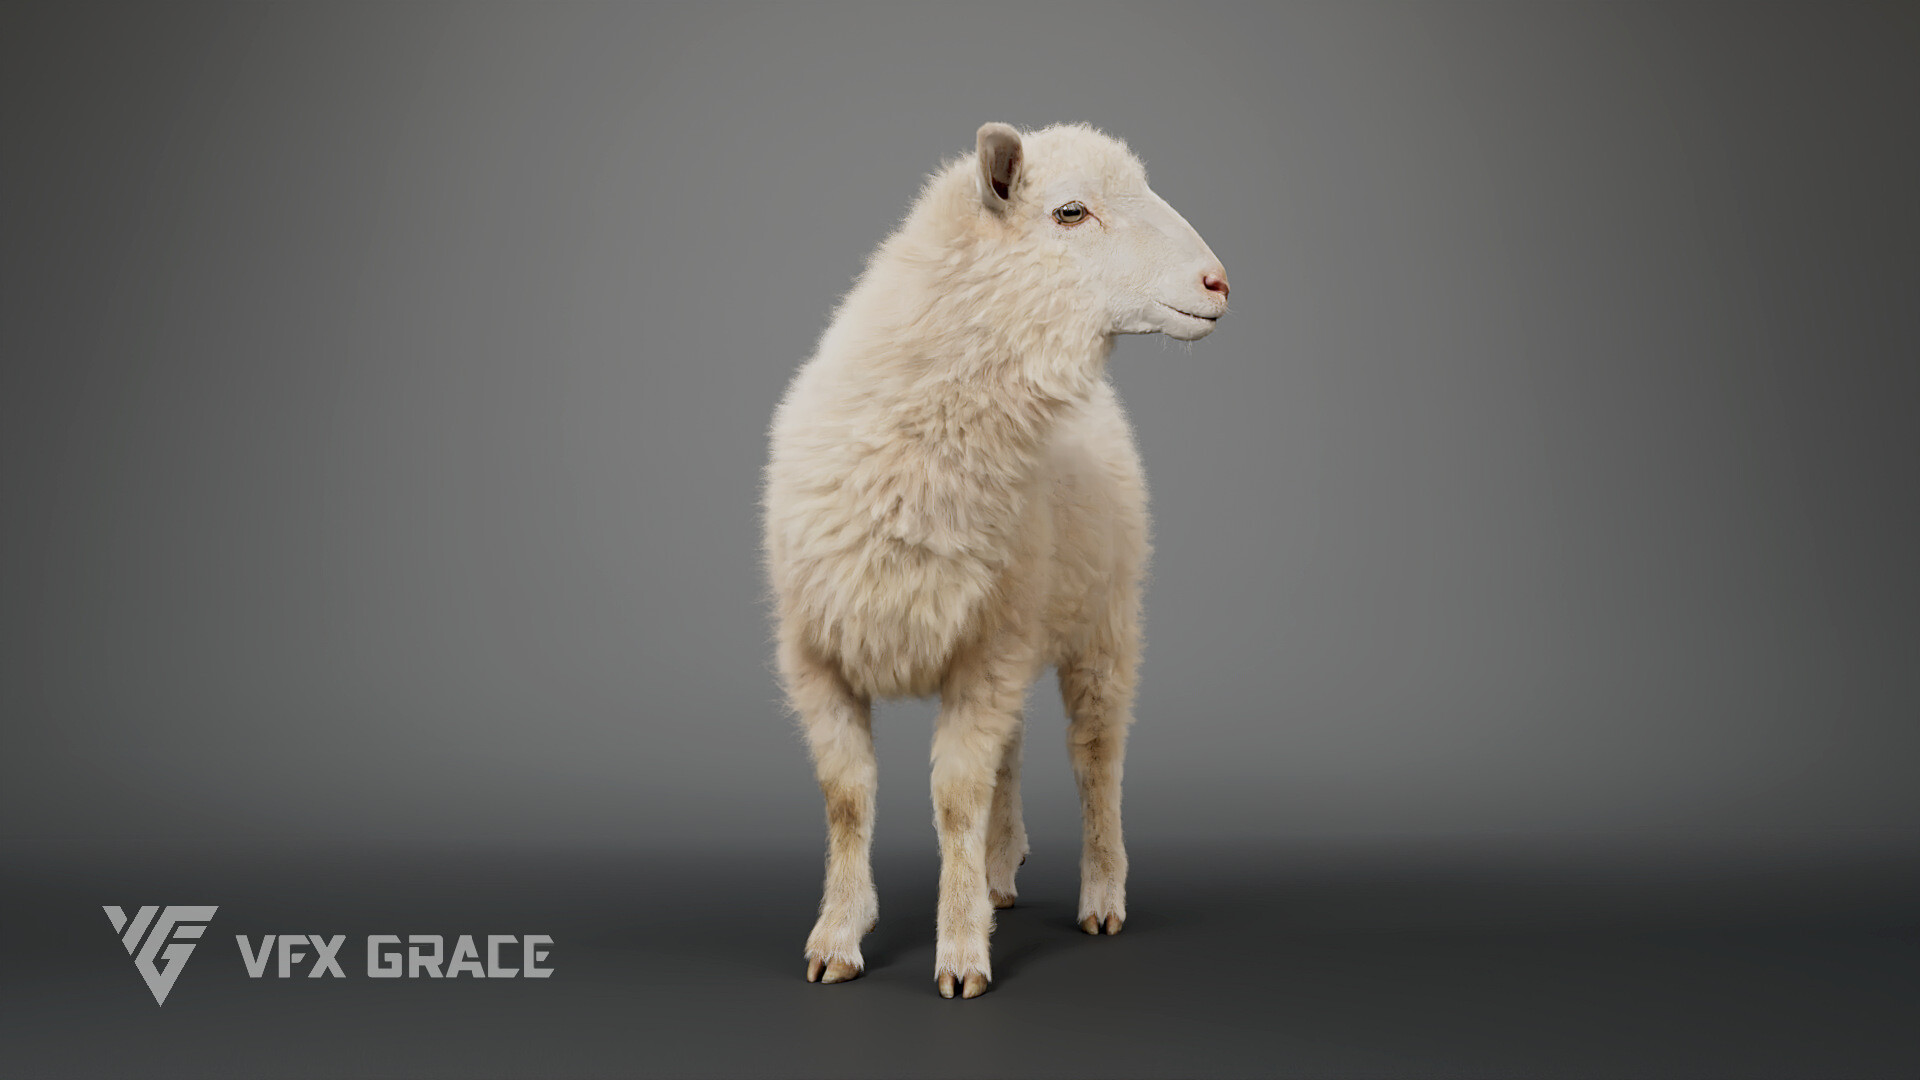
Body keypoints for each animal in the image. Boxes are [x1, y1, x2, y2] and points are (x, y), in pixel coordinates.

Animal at [762, 122, 1229, 999]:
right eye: (1071, 212)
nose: (1219, 282)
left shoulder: (987, 650)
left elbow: (954, 797)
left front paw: (958, 952)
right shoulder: (818, 651)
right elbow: (849, 797)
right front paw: (839, 937)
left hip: (1100, 621)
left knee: (1095, 755)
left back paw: (1099, 893)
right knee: (1010, 755)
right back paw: (998, 875)